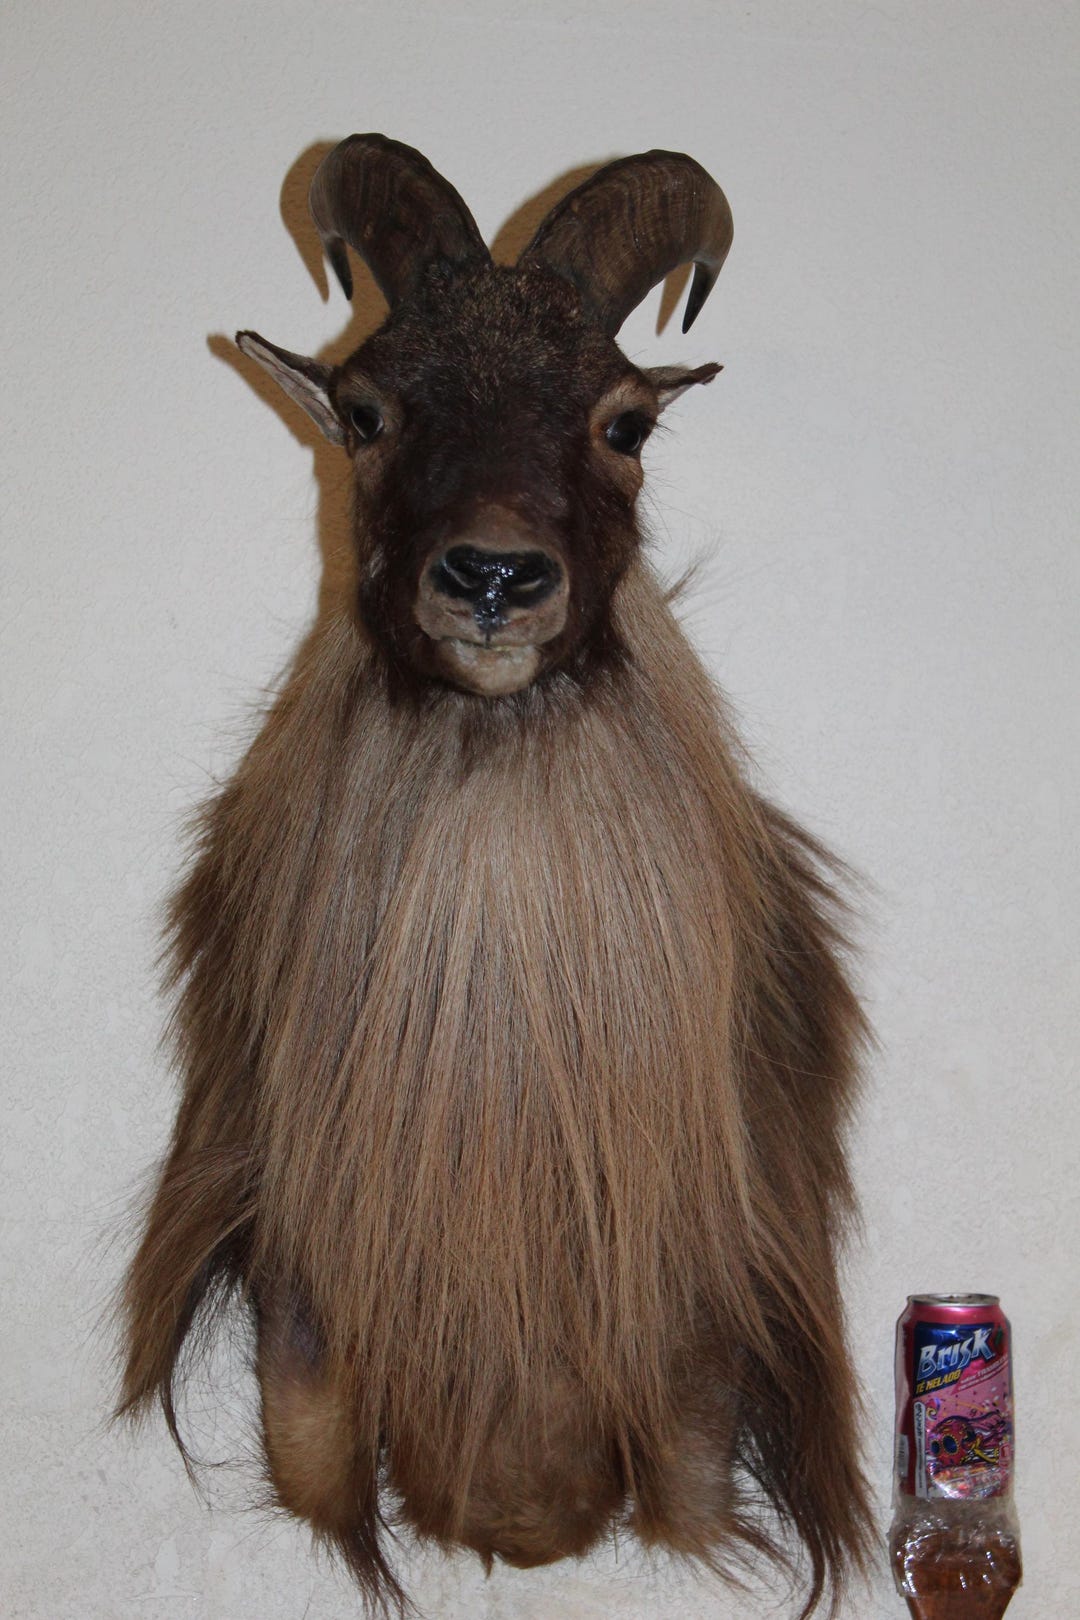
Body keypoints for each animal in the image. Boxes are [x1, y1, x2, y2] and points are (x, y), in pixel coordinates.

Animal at [119, 134, 872, 1618]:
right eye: (365, 411)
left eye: (625, 422)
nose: (493, 579)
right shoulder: (304, 1308)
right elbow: (311, 1434)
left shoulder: (691, 1333)